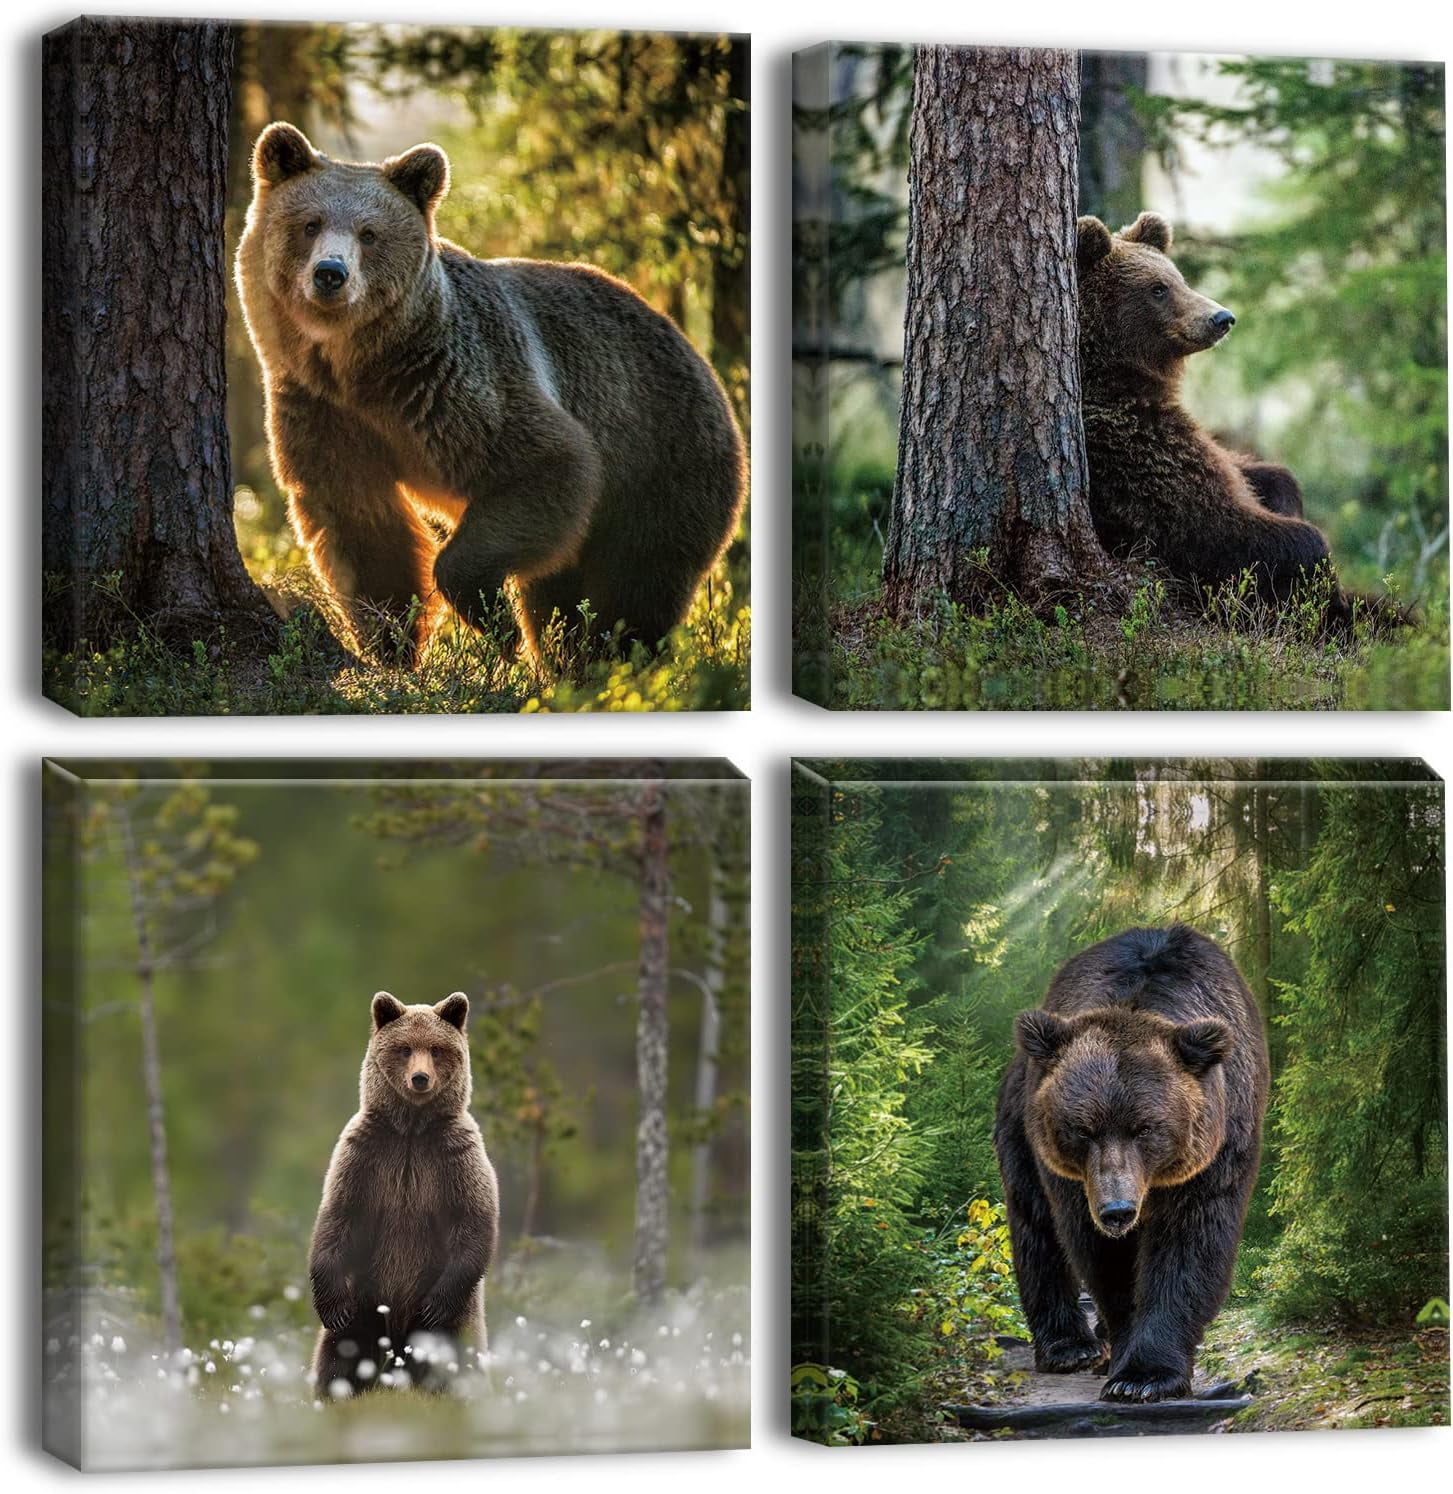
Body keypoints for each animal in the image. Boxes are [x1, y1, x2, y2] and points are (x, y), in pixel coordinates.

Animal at [236, 122, 746, 668]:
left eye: (369, 234)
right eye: (310, 223)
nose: (330, 273)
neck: (363, 368)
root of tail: (699, 358)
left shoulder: (456, 383)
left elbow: (547, 463)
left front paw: (495, 625)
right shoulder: (322, 409)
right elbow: (361, 526)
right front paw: (393, 645)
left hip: (660, 459)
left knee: (634, 586)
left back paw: (611, 661)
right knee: (562, 596)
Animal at [308, 991, 499, 1397]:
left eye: (437, 1049)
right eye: (404, 1047)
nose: (420, 1078)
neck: (411, 1130)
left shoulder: (454, 1157)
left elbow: (473, 1221)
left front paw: (435, 1305)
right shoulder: (365, 1155)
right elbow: (338, 1216)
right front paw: (331, 1306)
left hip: (458, 1323)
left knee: (456, 1363)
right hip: (365, 1304)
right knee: (337, 1360)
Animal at [993, 924, 1269, 1403]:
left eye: (1146, 1127)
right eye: (1082, 1130)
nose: (1117, 1211)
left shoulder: (1215, 1150)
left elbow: (1189, 1243)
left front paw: (1146, 1375)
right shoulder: (1075, 1177)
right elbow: (1102, 1256)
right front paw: (1126, 1359)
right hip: (1020, 1128)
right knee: (1036, 1225)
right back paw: (1070, 1347)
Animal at [1077, 211, 1337, 606]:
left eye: (1179, 278)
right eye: (1158, 289)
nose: (1221, 318)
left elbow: (1261, 473)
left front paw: (1284, 493)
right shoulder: (1135, 456)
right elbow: (1213, 527)